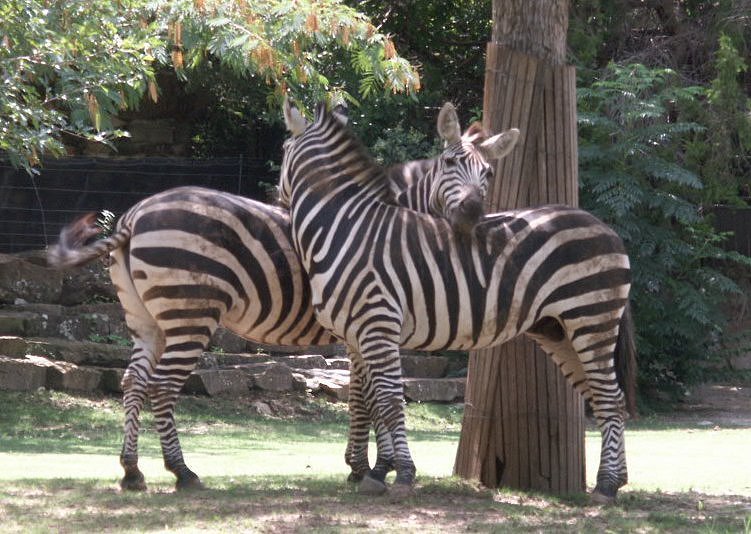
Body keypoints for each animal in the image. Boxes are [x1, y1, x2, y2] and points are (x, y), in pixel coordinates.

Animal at [47, 104, 520, 492]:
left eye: (489, 174)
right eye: (451, 163)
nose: (472, 214)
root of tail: (134, 213)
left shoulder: (364, 326)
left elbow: (367, 393)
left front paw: (367, 466)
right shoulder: (367, 325)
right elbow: (367, 394)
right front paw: (371, 466)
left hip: (146, 318)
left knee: (134, 381)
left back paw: (132, 470)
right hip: (190, 312)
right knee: (161, 385)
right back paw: (182, 472)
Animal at [279, 100, 636, 503]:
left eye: (283, 149)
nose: (277, 197)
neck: (346, 229)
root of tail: (606, 228)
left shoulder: (378, 326)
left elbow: (389, 400)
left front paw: (403, 474)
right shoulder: (357, 336)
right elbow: (370, 401)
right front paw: (375, 472)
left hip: (590, 318)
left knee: (608, 397)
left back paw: (606, 486)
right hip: (559, 330)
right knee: (609, 398)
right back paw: (617, 480)